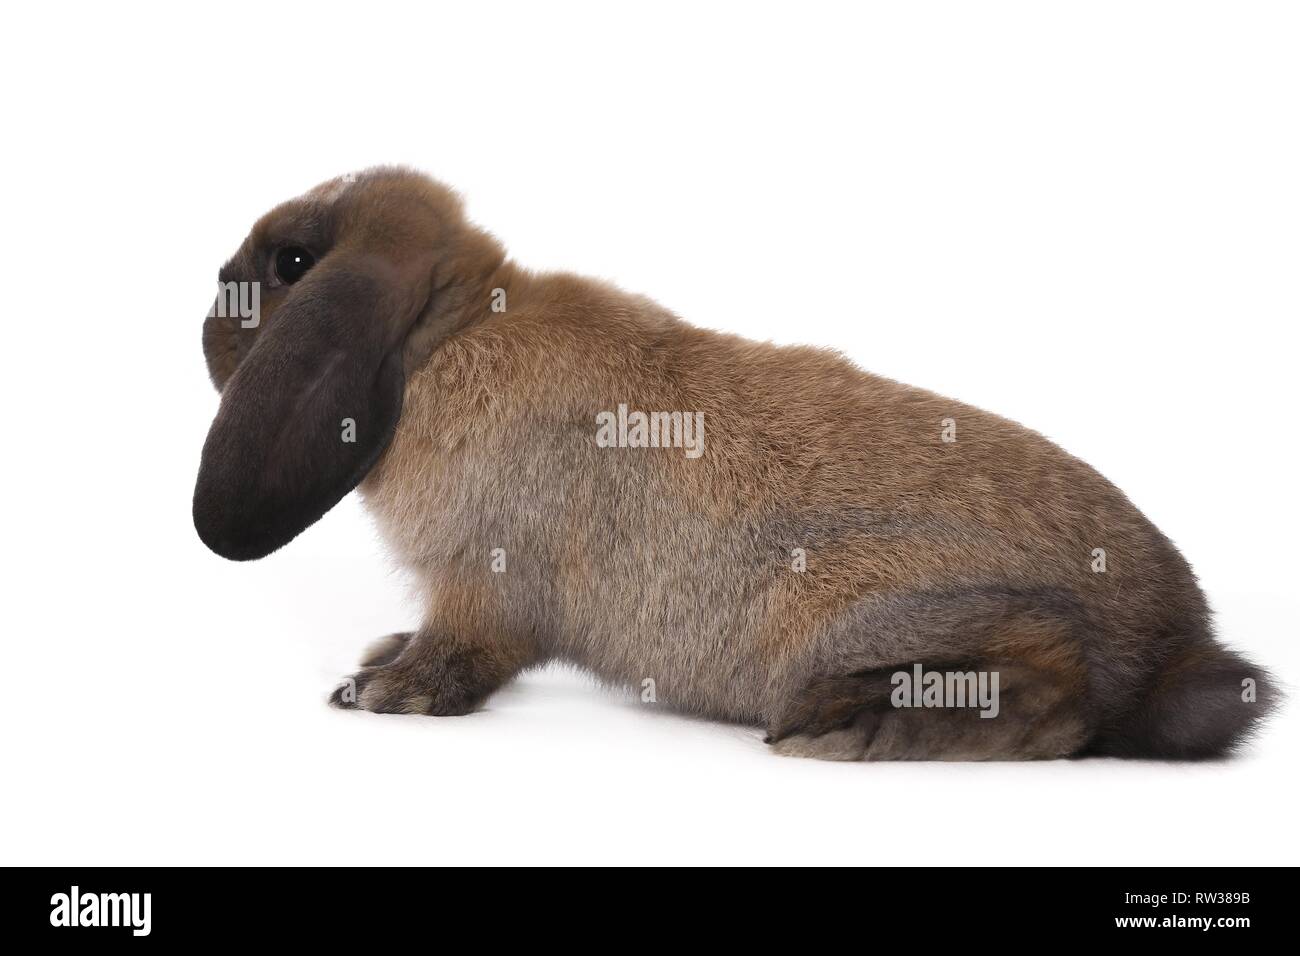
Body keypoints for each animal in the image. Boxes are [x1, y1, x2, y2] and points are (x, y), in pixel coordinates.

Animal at [195, 166, 1274, 761]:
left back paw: (845, 728)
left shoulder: (484, 583)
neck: (446, 341)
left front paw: (385, 690)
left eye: (292, 264)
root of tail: (1175, 643)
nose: (206, 317)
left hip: (866, 609)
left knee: (1064, 697)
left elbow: (466, 650)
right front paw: (379, 656)